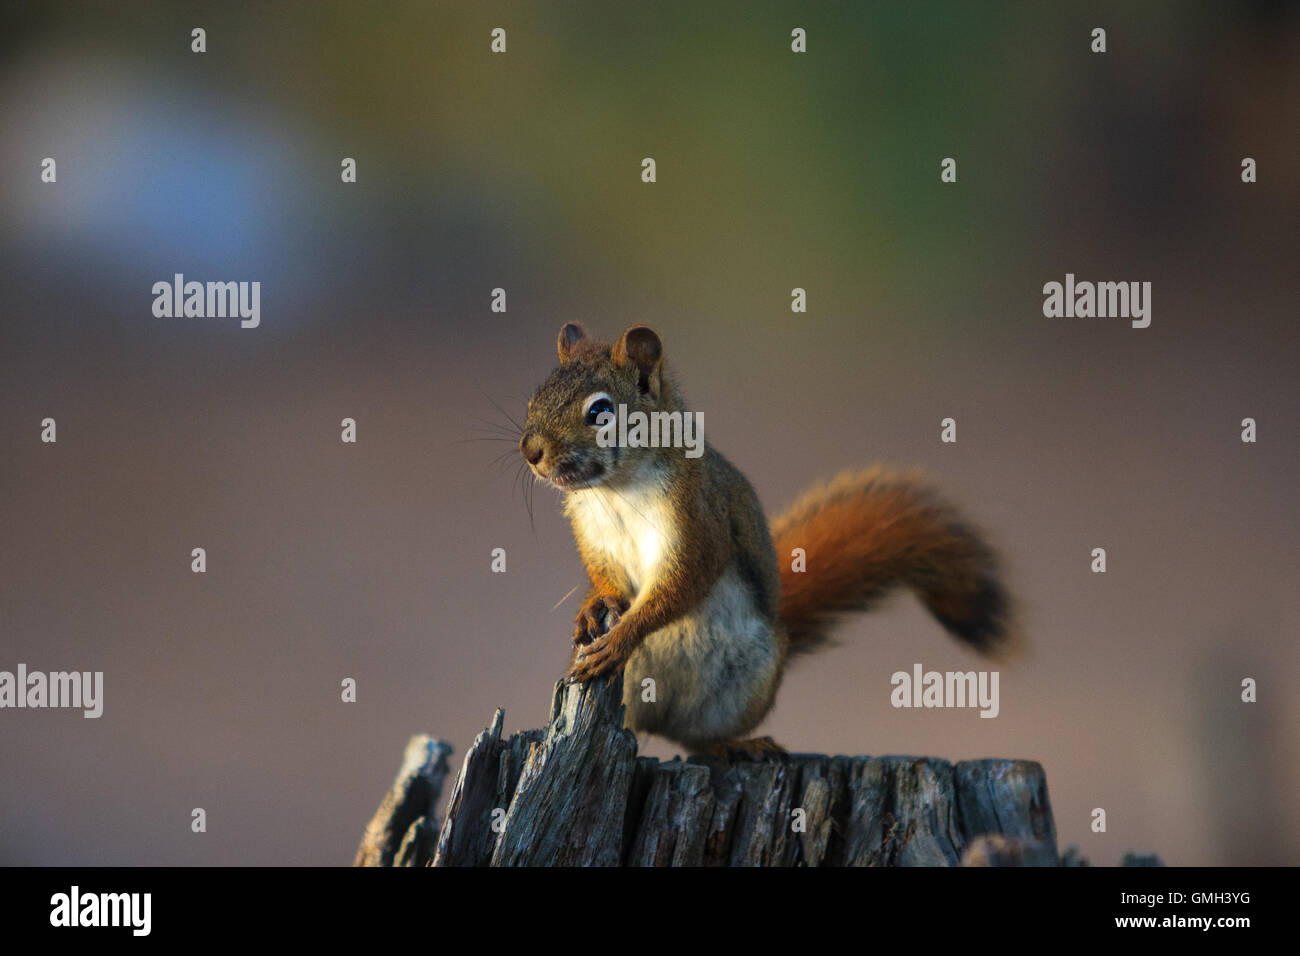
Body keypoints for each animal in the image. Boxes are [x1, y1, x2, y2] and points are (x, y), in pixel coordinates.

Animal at [520, 322, 1016, 757]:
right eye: (533, 400)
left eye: (601, 412)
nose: (530, 451)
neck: (615, 490)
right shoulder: (594, 536)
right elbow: (603, 575)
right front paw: (592, 607)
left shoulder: (701, 524)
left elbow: (680, 587)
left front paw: (621, 637)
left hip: (748, 680)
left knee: (694, 738)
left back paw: (733, 746)